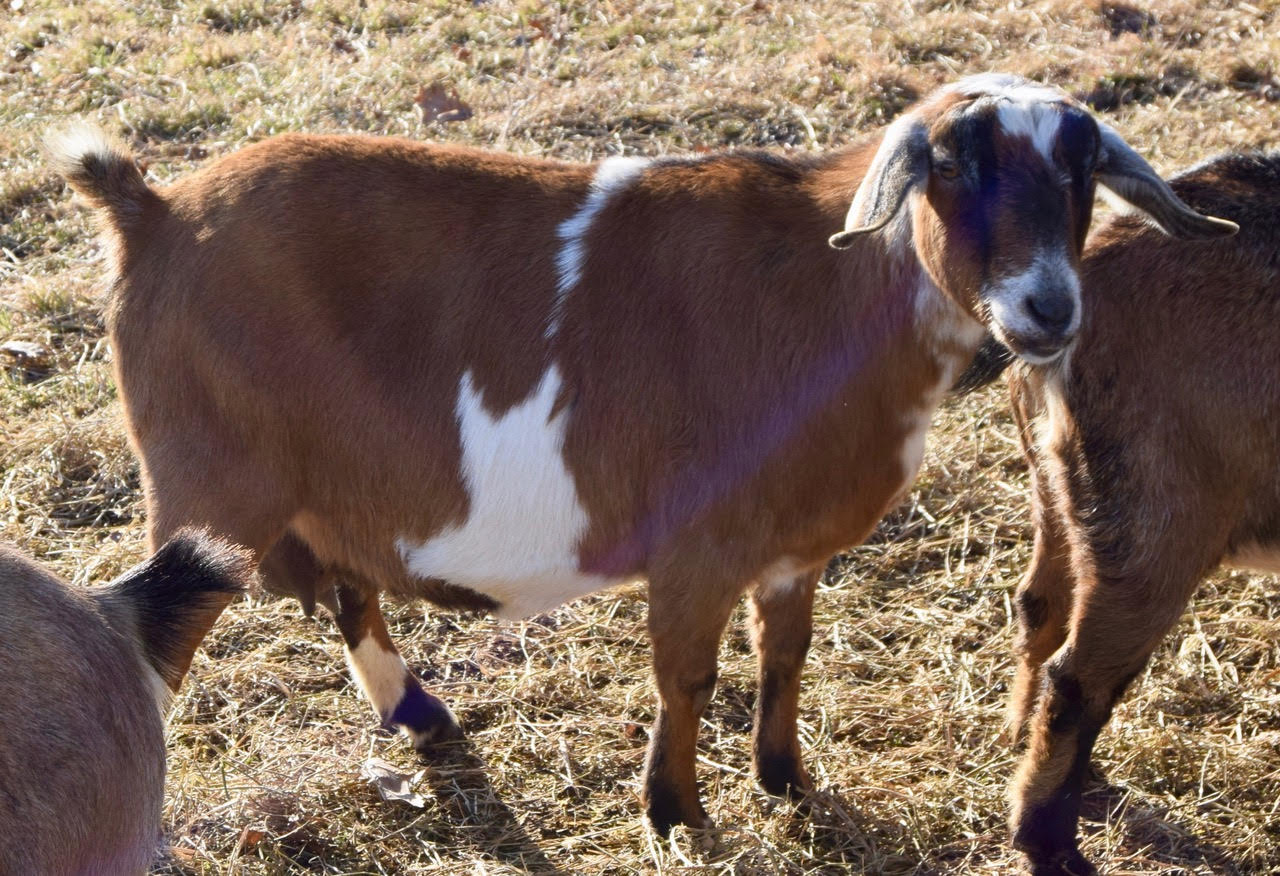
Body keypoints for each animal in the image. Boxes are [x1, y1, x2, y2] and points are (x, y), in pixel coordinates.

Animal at [50, 73, 1233, 833]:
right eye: (952, 166)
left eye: (1081, 171)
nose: (1047, 308)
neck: (832, 288)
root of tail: (152, 209)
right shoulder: (695, 546)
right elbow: (686, 673)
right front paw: (674, 812)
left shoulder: (787, 547)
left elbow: (783, 655)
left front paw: (783, 780)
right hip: (214, 490)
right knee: (159, 637)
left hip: (315, 490)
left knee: (348, 589)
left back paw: (422, 713)